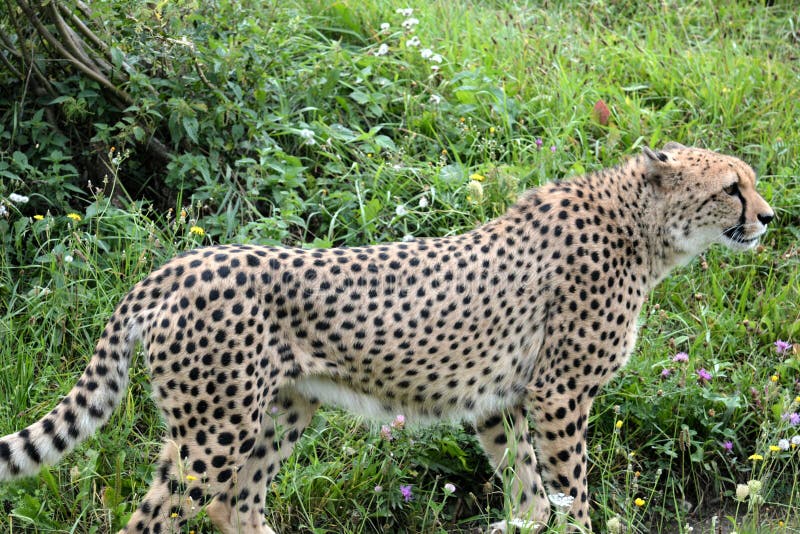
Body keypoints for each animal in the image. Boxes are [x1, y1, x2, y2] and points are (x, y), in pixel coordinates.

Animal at [0, 143, 774, 533]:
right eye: (731, 188)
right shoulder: (559, 394)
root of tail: (177, 264)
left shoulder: (500, 398)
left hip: (282, 408)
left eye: (751, 182)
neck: (645, 228)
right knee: (156, 517)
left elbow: (527, 487)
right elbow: (570, 491)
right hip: (215, 429)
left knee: (236, 503)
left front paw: (527, 522)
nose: (768, 216)